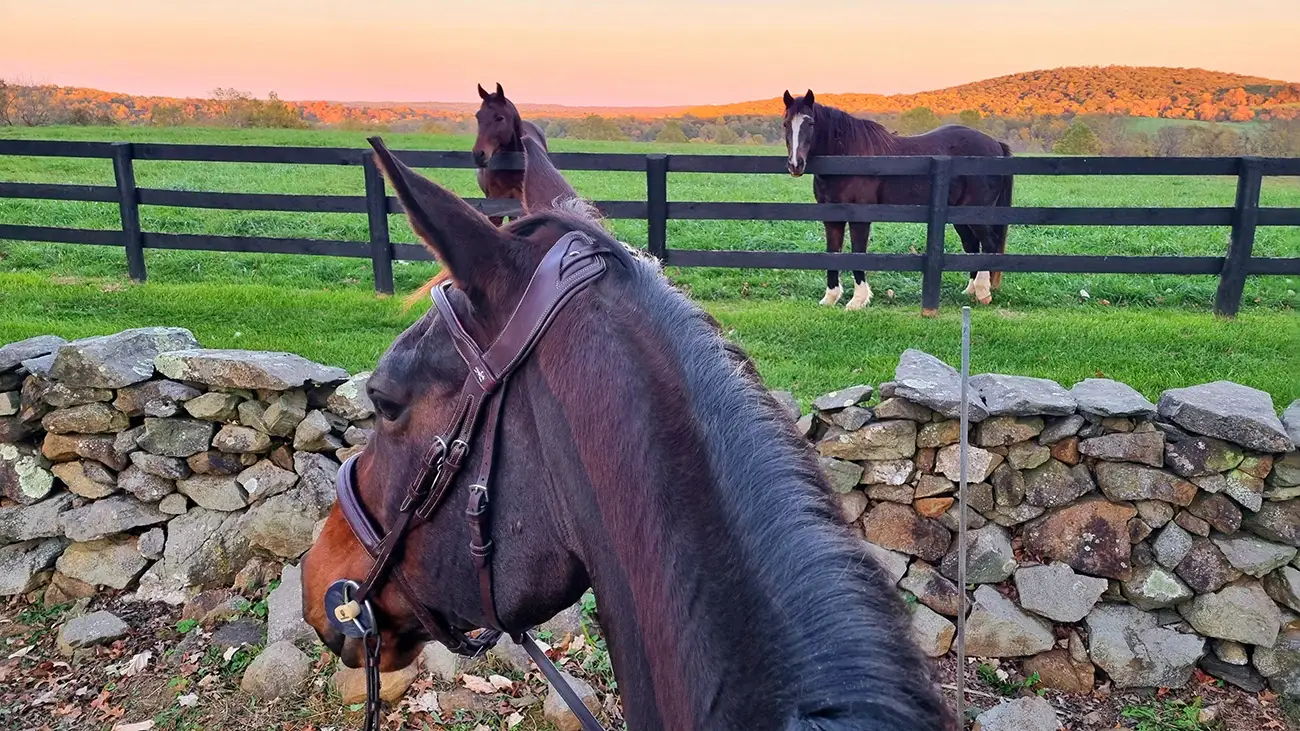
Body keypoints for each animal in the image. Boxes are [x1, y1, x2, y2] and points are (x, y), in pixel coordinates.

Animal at [782, 89, 1014, 309]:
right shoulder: (831, 217)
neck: (849, 158)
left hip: (976, 214)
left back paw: (983, 293)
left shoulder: (860, 218)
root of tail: (996, 145)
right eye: (786, 124)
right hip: (960, 216)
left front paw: (858, 300)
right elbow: (832, 253)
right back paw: (971, 290)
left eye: (811, 123)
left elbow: (858, 252)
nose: (795, 164)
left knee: (988, 245)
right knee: (972, 245)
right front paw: (830, 298)